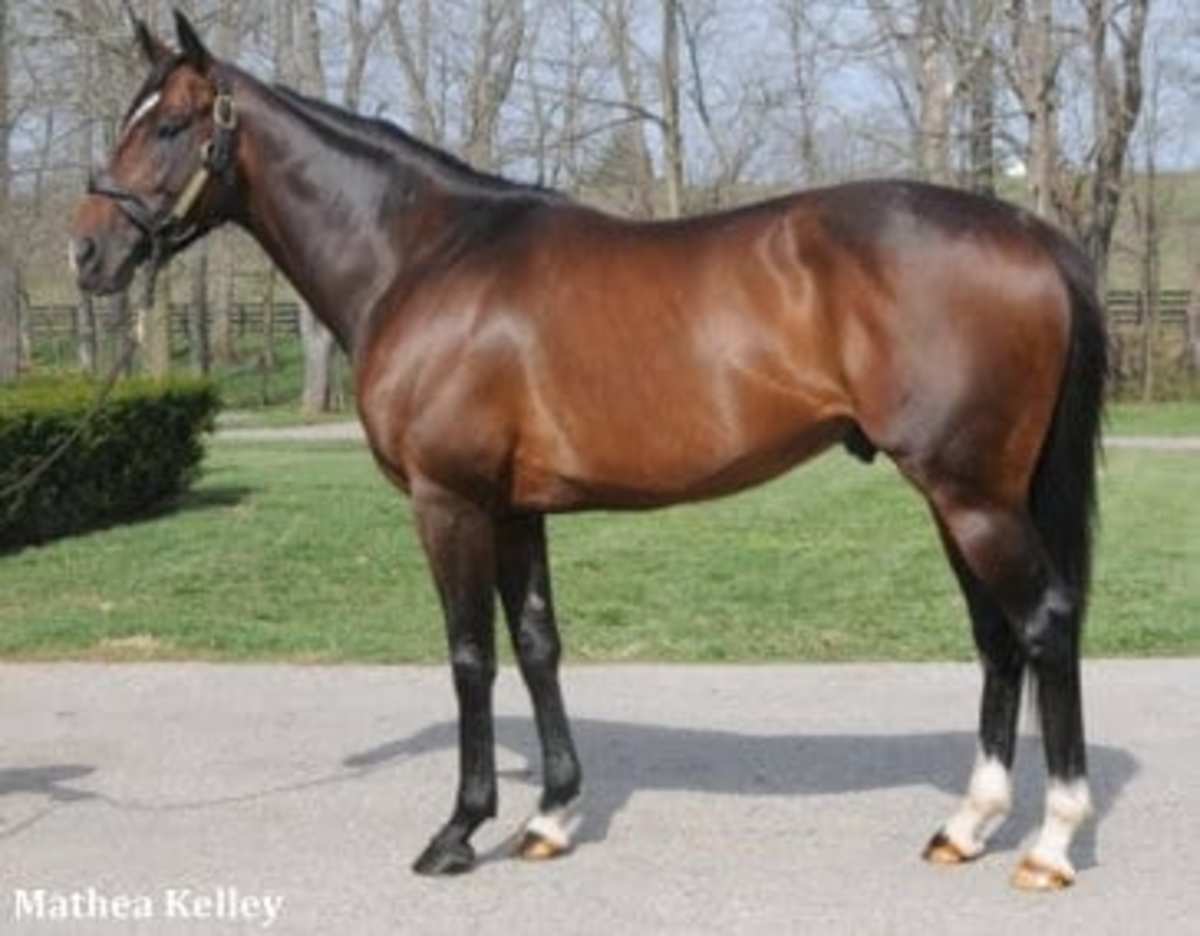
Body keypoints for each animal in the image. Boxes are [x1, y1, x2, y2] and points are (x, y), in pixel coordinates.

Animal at [70, 12, 1105, 891]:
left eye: (170, 125)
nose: (88, 254)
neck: (425, 256)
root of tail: (1032, 231)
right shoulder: (516, 507)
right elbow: (537, 645)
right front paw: (551, 818)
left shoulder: (448, 501)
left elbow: (470, 655)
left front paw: (459, 830)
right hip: (962, 495)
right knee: (997, 638)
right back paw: (966, 827)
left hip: (973, 495)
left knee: (1044, 623)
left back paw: (1050, 843)